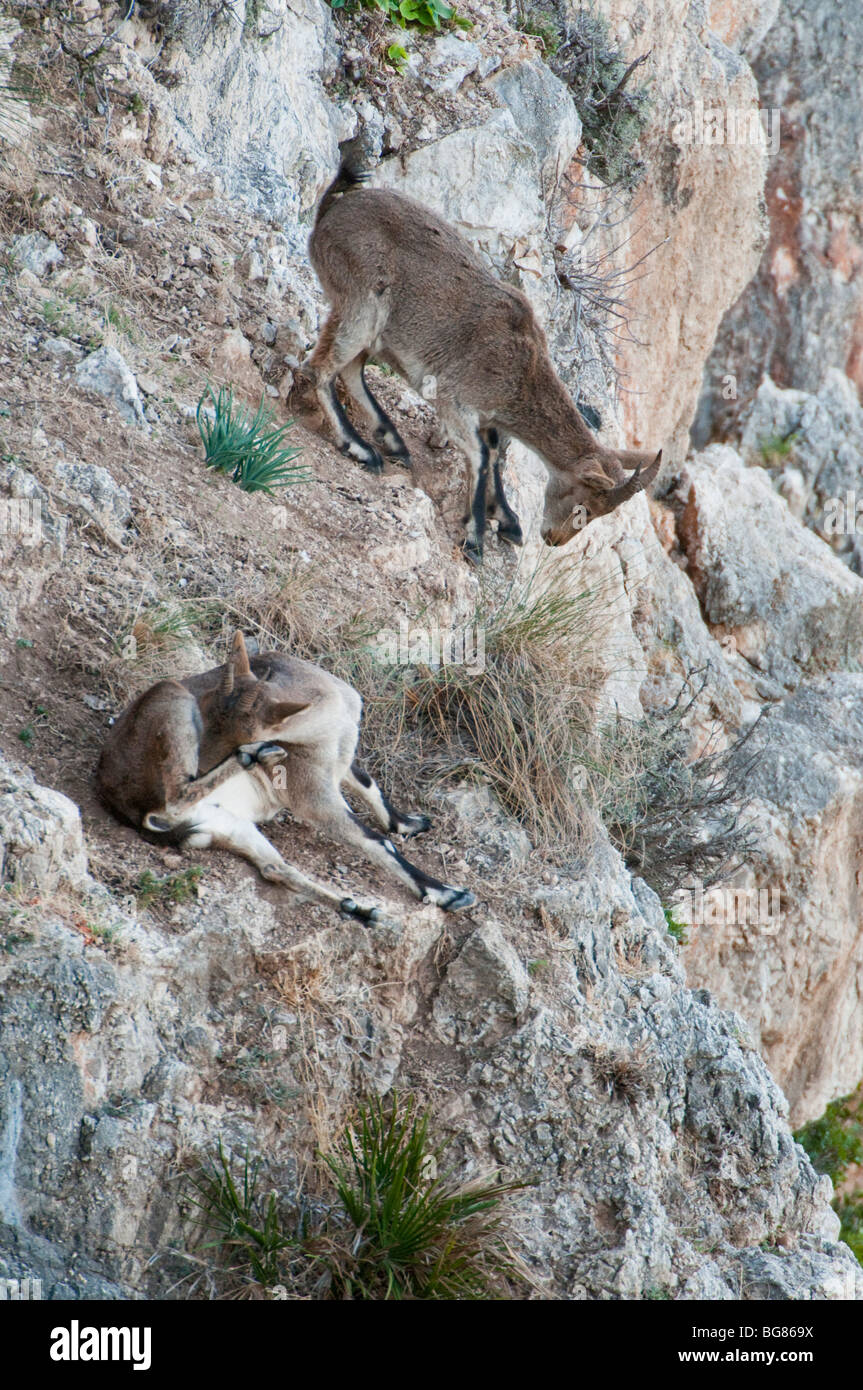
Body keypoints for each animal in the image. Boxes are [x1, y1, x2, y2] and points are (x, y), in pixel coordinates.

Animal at [95, 632, 475, 920]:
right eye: (202, 718)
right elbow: (375, 841)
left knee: (273, 868)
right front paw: (450, 894)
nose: (200, 766)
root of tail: (132, 809)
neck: (330, 715)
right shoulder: (311, 793)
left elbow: (368, 783)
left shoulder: (337, 762)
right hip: (170, 699)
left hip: (224, 824)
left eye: (236, 734)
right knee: (176, 797)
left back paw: (359, 911)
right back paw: (259, 757)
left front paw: (411, 823)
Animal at [293, 163, 662, 564]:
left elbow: (497, 453)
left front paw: (507, 520)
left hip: (373, 329)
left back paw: (393, 443)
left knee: (350, 370)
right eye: (587, 505)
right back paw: (361, 449)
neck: (522, 372)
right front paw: (475, 539)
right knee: (322, 368)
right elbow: (482, 456)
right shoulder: (456, 401)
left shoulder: (487, 417)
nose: (554, 539)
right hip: (361, 305)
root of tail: (330, 213)